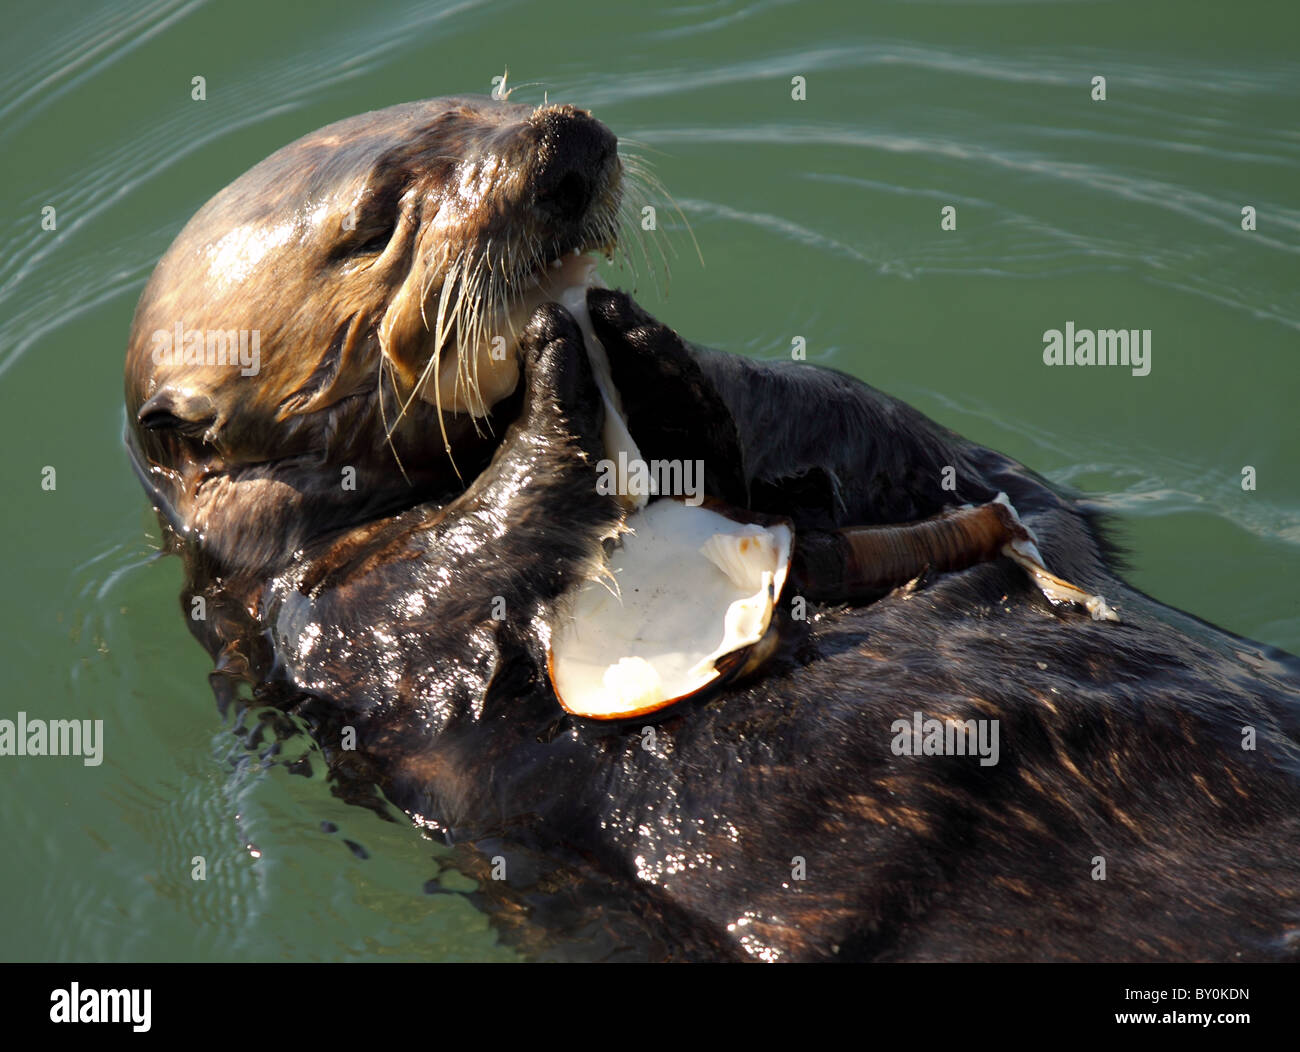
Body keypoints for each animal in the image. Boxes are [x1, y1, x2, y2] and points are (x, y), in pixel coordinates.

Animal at [124, 96, 1300, 962]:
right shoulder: (315, 621)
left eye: (478, 101)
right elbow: (435, 616)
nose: (563, 144)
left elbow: (902, 447)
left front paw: (640, 340)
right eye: (371, 225)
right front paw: (558, 378)